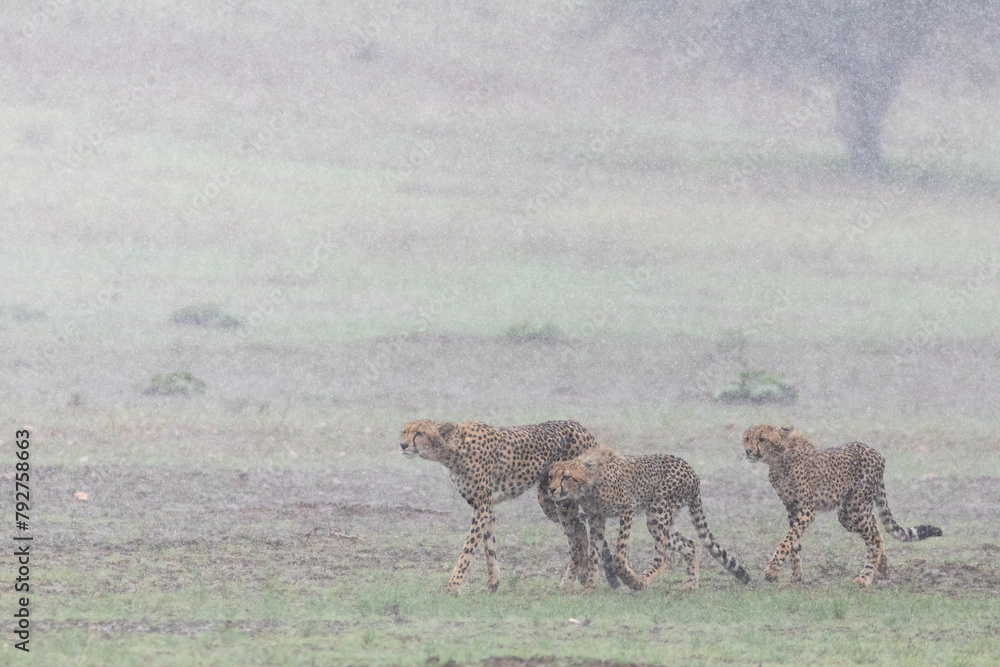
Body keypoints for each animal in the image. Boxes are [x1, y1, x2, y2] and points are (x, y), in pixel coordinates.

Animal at [400, 419, 606, 595]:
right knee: (579, 529)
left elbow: (468, 549)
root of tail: (580, 426)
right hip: (549, 500)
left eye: (419, 433)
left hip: (561, 500)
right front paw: (493, 583)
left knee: (582, 532)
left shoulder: (482, 507)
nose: (403, 445)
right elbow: (489, 546)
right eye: (404, 432)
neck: (453, 449)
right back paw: (578, 577)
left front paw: (454, 585)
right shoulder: (486, 507)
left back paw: (582, 579)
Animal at [543, 445, 752, 591]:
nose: (551, 489)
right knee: (690, 544)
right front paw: (589, 587)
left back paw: (640, 581)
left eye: (566, 477)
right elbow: (594, 554)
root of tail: (691, 470)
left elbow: (619, 553)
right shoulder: (596, 518)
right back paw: (691, 584)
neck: (588, 481)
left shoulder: (628, 507)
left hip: (658, 510)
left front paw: (627, 578)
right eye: (551, 476)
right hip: (661, 519)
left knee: (662, 558)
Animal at [743, 424, 943, 588]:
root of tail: (873, 450)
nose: (748, 451)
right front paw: (795, 579)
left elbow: (787, 540)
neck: (778, 459)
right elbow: (793, 542)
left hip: (856, 507)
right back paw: (883, 567)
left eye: (762, 439)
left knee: (875, 538)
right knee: (874, 524)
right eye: (746, 438)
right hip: (847, 514)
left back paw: (865, 578)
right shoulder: (793, 510)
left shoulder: (806, 510)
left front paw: (773, 570)